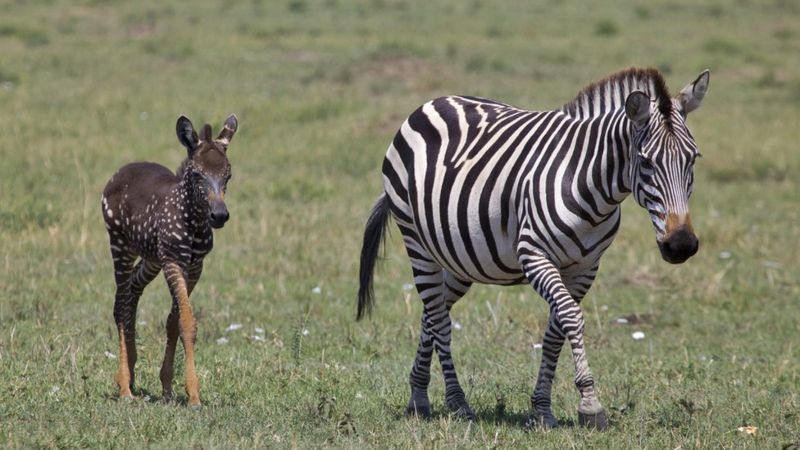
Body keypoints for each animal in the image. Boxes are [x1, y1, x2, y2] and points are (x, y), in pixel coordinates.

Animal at [357, 67, 709, 429]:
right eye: (646, 161)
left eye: (693, 159)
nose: (681, 245)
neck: (589, 184)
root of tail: (433, 102)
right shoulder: (534, 255)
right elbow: (571, 318)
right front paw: (590, 405)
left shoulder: (585, 268)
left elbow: (555, 331)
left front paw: (542, 409)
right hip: (417, 242)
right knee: (439, 319)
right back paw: (457, 402)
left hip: (459, 258)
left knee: (432, 312)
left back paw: (418, 398)